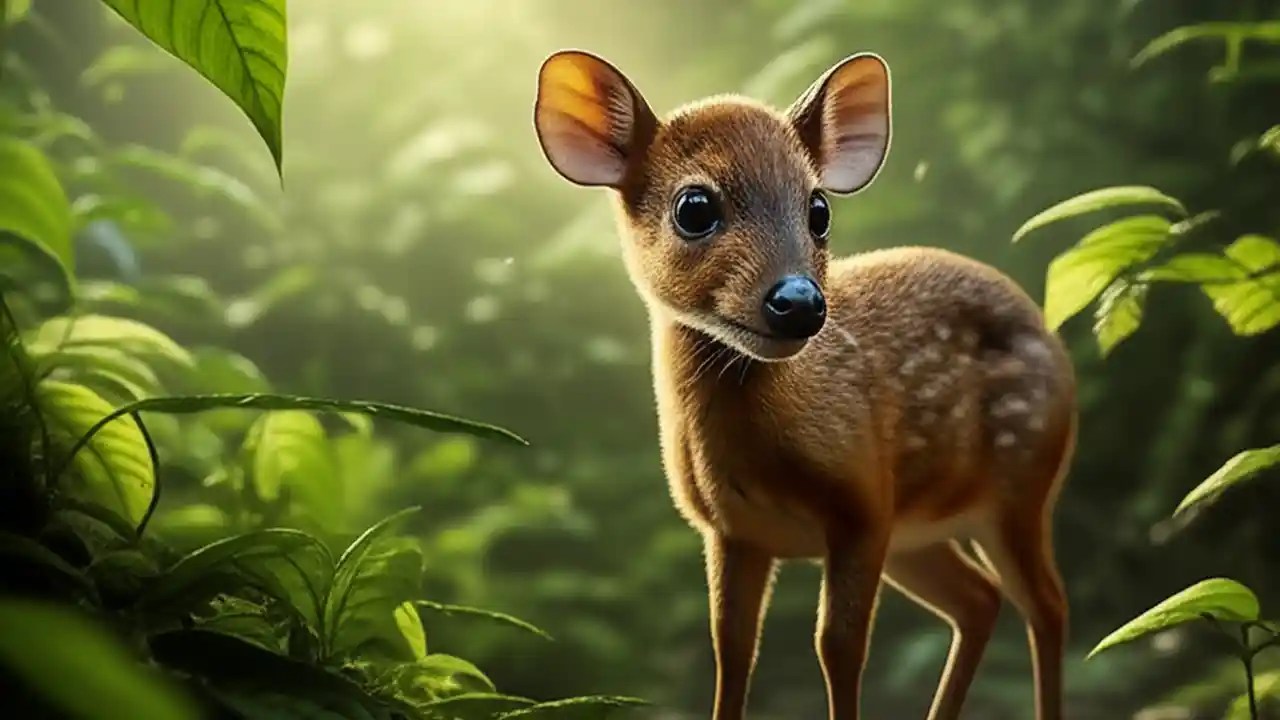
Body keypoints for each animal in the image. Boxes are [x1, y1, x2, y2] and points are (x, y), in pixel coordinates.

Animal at [531, 48, 1076, 720]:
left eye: (819, 209)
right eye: (694, 208)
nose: (798, 301)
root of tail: (1050, 334)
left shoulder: (861, 503)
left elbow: (837, 647)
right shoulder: (733, 530)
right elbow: (733, 649)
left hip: (1022, 479)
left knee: (1046, 604)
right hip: (919, 533)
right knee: (981, 599)